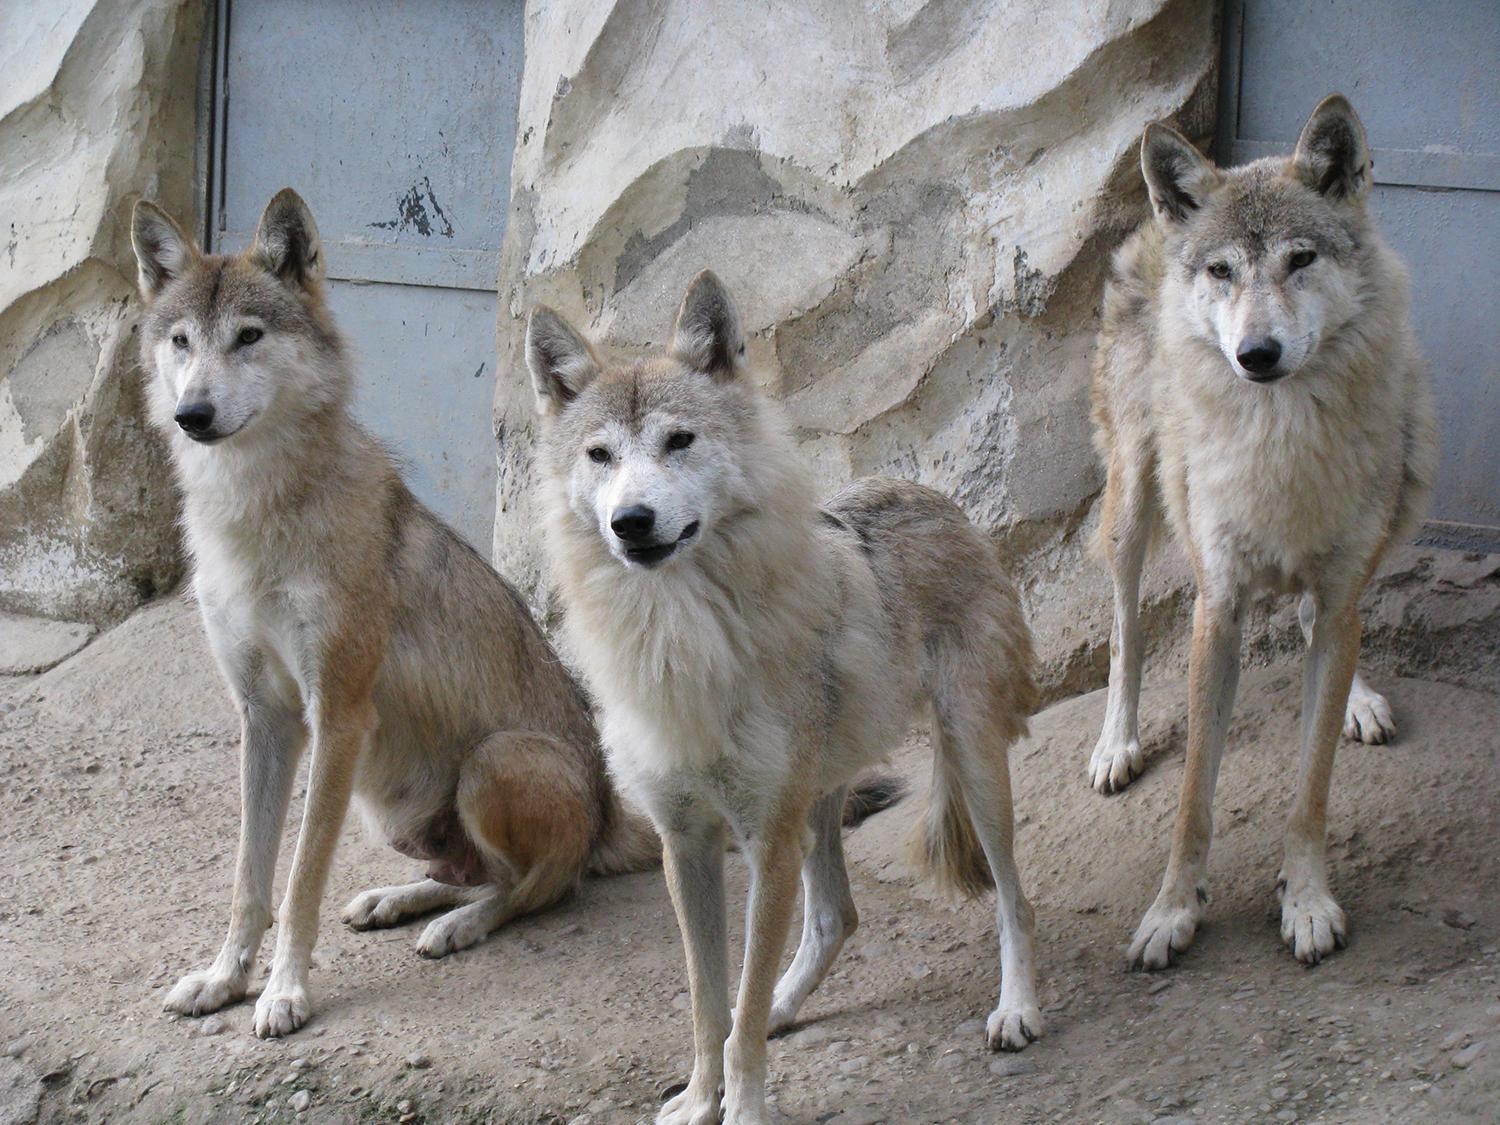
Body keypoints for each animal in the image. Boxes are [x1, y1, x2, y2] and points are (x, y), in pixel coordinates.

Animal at [130, 189, 660, 1039]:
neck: (250, 513)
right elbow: (251, 878)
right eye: (181, 341)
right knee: (474, 874)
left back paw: (458, 925)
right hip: (394, 810)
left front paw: (285, 992)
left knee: (539, 887)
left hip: (491, 762)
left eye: (248, 337)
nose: (193, 414)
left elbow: (300, 877)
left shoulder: (338, 716)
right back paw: (396, 899)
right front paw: (224, 978)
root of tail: (612, 817)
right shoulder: (264, 718)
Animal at [526, 272, 1043, 1124]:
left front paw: (742, 1107)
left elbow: (736, 1003)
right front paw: (700, 1098)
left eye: (679, 441)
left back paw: (1018, 1008)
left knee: (1011, 897)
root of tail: (932, 495)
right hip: (821, 798)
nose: (631, 522)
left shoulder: (762, 838)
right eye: (599, 455)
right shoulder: (686, 843)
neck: (676, 636)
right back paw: (780, 1007)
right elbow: (709, 1002)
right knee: (836, 916)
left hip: (969, 764)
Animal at [1089, 95, 1439, 970]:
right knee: (1124, 631)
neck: (1279, 441)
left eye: (1300, 259)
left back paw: (1360, 698)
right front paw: (1171, 910)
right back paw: (1116, 743)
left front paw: (1307, 900)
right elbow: (1192, 795)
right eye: (1223, 271)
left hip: (1409, 476)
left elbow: (1312, 783)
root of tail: (1158, 221)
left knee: (1324, 621)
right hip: (1131, 506)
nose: (1257, 353)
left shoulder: (1342, 585)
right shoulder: (1217, 607)